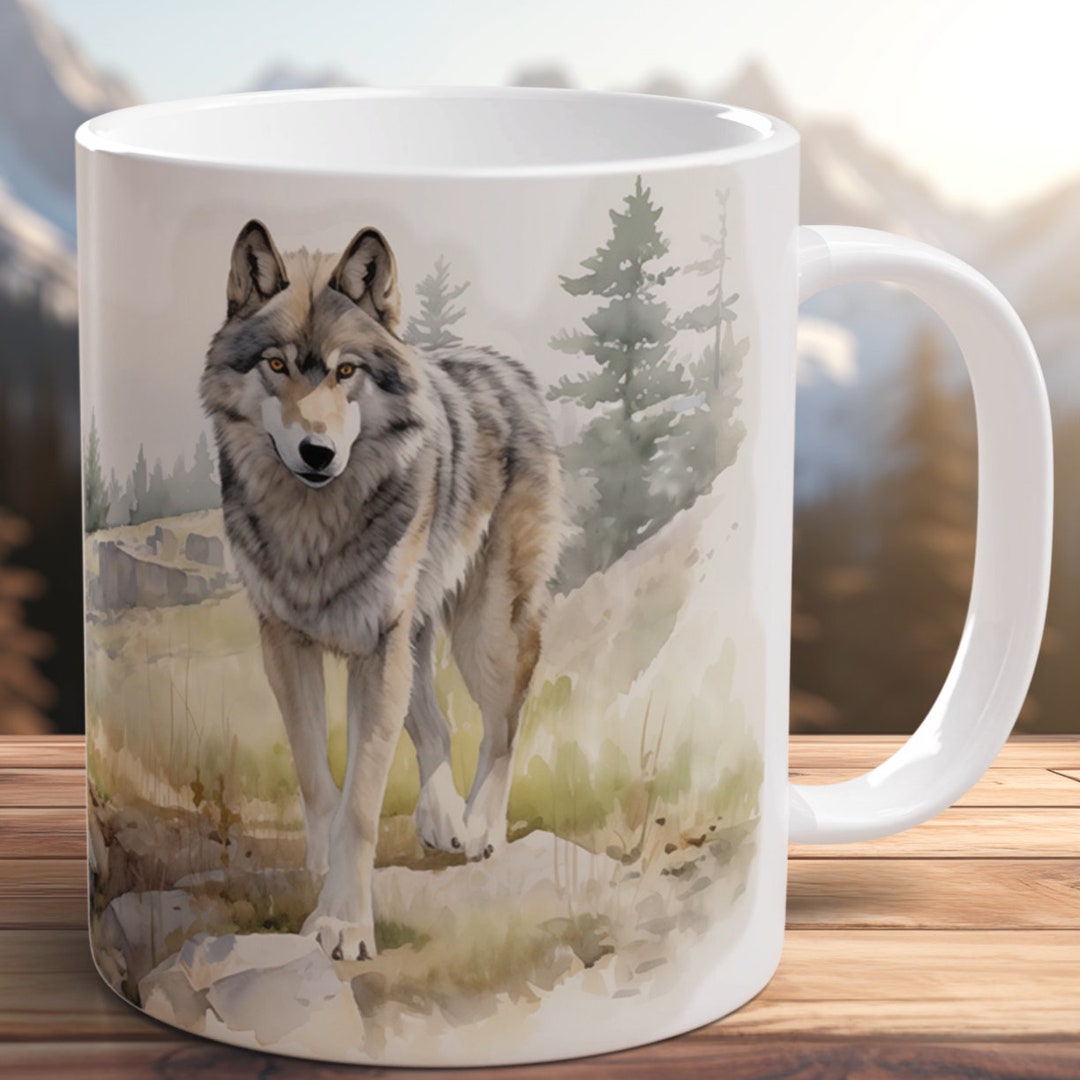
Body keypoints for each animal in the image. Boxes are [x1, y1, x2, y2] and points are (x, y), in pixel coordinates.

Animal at [200, 220, 563, 961]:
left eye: (347, 371)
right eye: (276, 365)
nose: (316, 453)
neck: (314, 528)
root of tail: (506, 368)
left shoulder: (375, 651)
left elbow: (363, 803)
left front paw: (343, 922)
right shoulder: (286, 644)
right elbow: (316, 773)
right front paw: (319, 865)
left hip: (483, 638)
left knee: (504, 724)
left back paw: (480, 828)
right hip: (416, 642)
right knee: (437, 726)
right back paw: (442, 819)